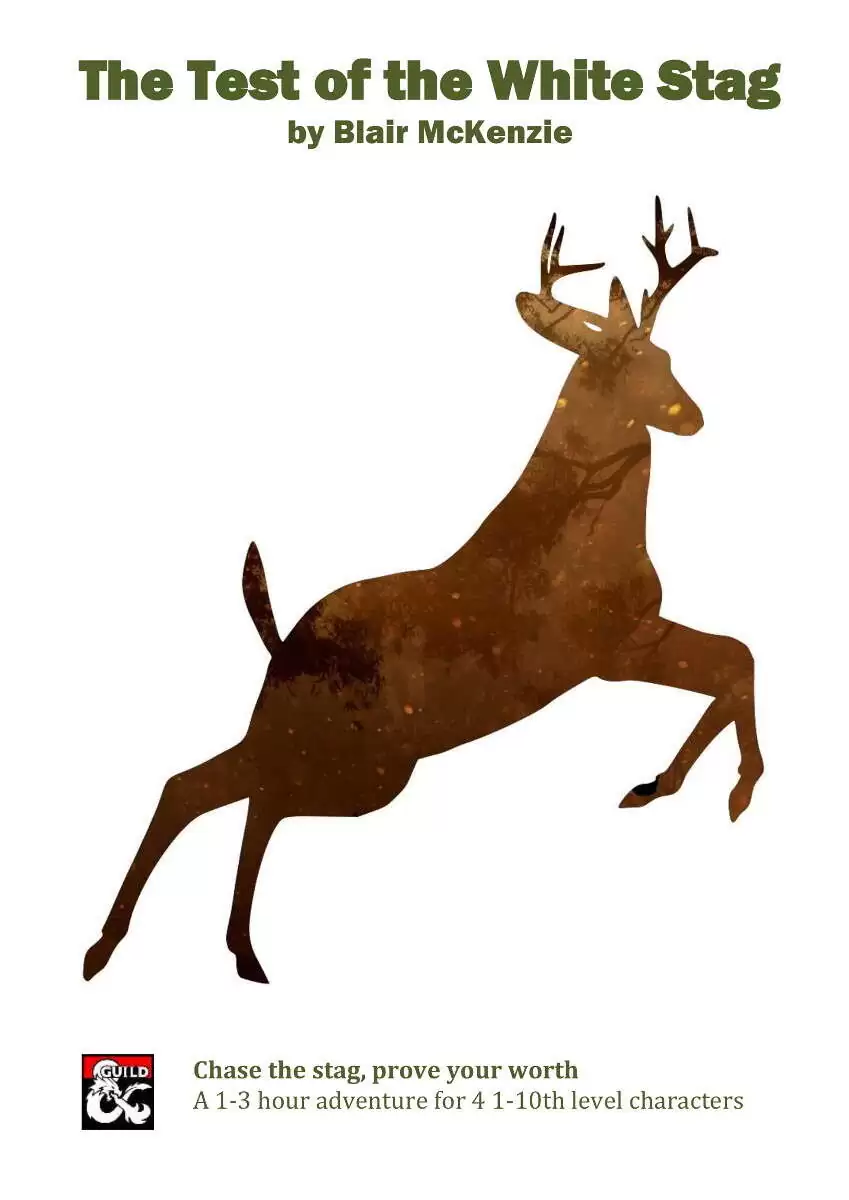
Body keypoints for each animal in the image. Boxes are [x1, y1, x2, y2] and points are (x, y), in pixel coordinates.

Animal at [83, 198, 763, 984]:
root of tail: (280, 645)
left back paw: (180, 950)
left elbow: (735, 660)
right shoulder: (611, 648)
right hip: (359, 764)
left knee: (208, 789)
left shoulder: (633, 637)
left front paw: (676, 787)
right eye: (634, 363)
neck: (593, 527)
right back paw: (165, 949)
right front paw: (717, 788)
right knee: (238, 796)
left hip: (316, 746)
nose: (693, 417)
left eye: (668, 358)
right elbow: (735, 662)